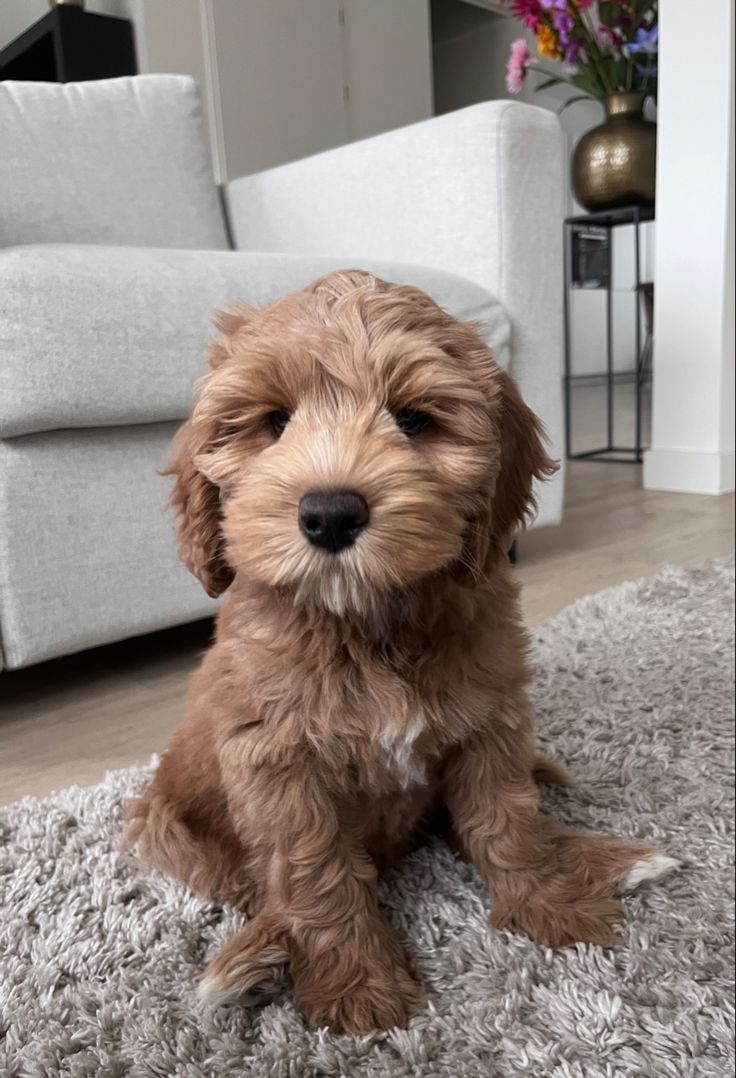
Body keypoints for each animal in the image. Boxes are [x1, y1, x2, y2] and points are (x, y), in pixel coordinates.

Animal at [123, 269, 676, 1034]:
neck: (366, 624)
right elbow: (315, 873)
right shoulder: (276, 761)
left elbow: (505, 821)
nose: (330, 513)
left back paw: (608, 856)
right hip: (166, 823)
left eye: (413, 420)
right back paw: (254, 958)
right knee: (267, 888)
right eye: (274, 423)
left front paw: (547, 905)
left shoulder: (489, 720)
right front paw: (359, 989)